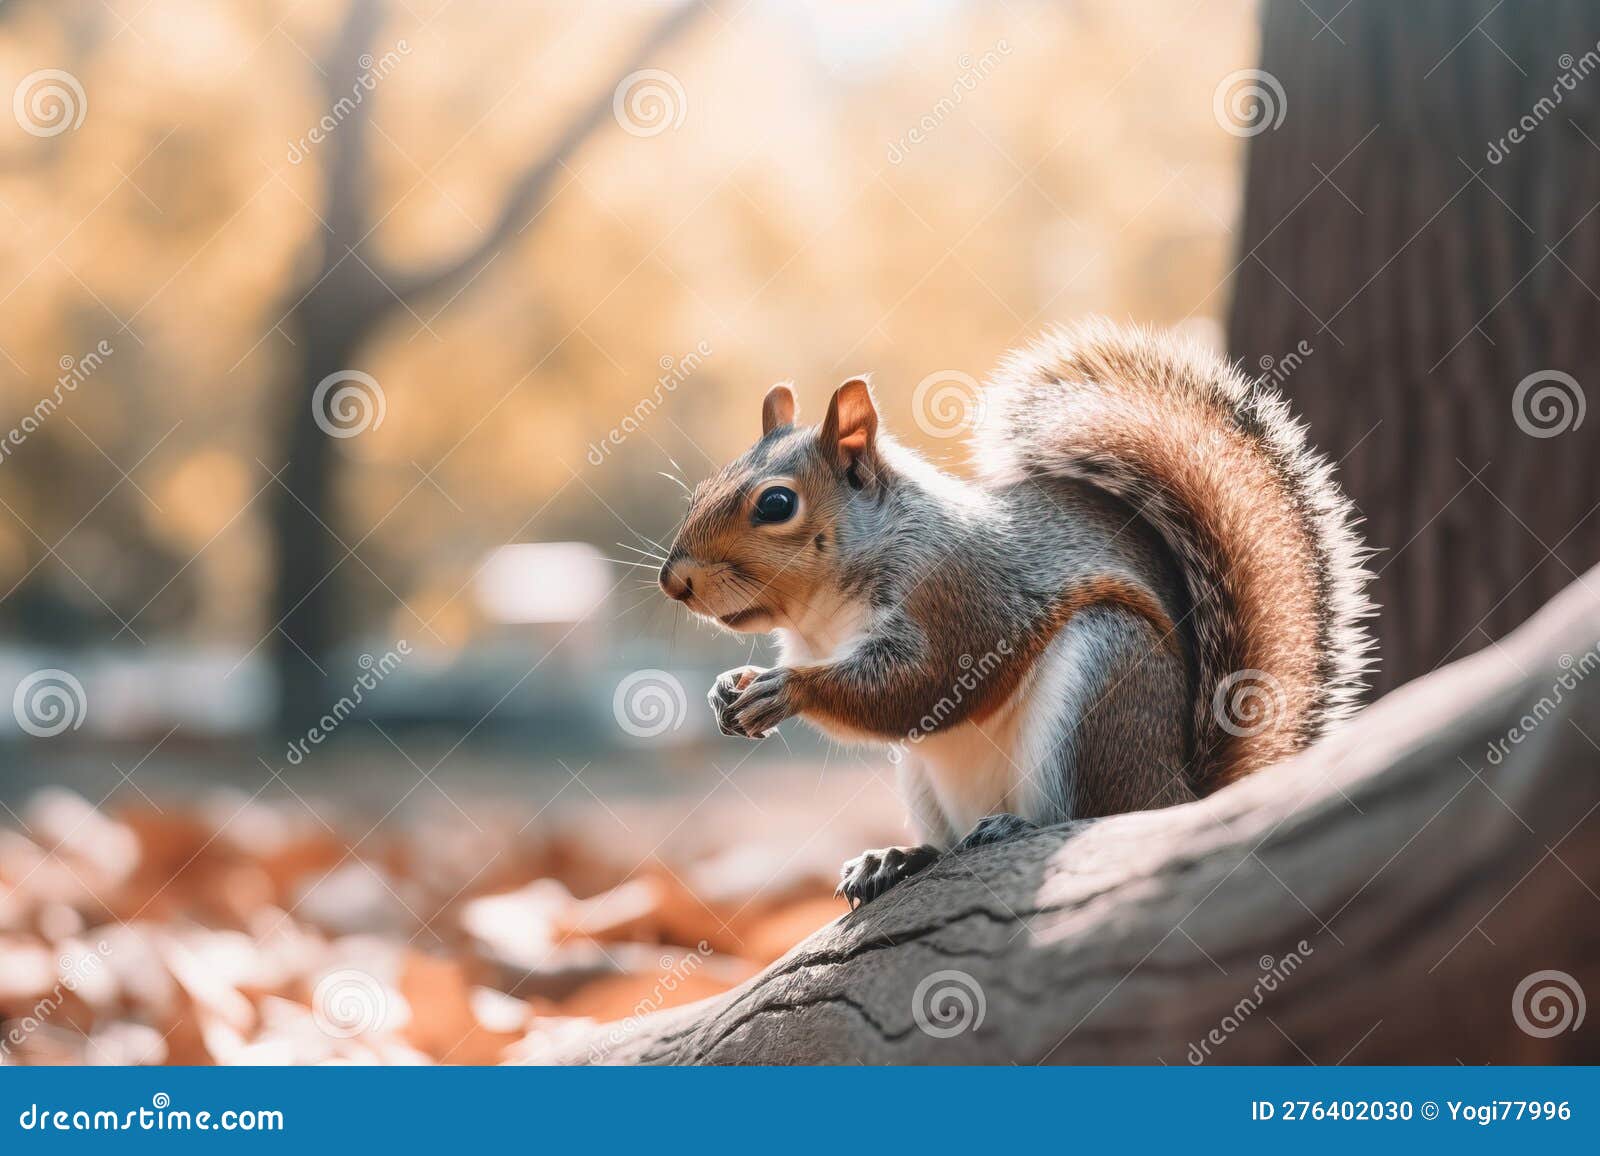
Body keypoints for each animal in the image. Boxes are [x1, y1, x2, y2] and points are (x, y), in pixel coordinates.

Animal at [658, 319, 1373, 908]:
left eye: (776, 504)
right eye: (699, 492)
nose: (674, 581)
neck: (823, 614)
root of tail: (1178, 791)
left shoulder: (956, 601)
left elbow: (918, 688)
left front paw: (787, 692)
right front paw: (726, 689)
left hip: (1099, 688)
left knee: (1094, 815)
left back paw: (1016, 825)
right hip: (924, 781)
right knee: (946, 841)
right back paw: (896, 857)